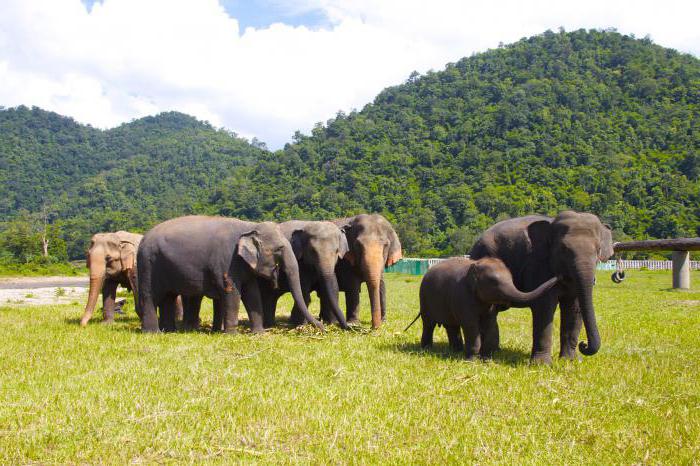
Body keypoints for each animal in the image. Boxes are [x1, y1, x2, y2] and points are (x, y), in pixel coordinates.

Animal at [137, 217, 326, 334]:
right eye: (279, 249)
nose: (323, 328)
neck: (249, 227)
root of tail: (143, 239)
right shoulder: (227, 260)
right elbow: (232, 292)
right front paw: (231, 334)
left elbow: (252, 293)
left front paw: (259, 333)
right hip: (148, 264)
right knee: (150, 296)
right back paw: (153, 333)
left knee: (168, 297)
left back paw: (169, 331)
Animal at [408, 256, 560, 358]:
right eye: (494, 282)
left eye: (511, 279)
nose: (559, 276)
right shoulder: (463, 295)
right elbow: (470, 324)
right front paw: (472, 360)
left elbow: (489, 322)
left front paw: (486, 359)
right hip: (424, 299)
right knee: (429, 324)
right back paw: (427, 349)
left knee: (451, 326)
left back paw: (456, 351)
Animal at [470, 211, 612, 364]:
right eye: (563, 249)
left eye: (598, 250)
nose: (583, 344)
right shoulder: (538, 263)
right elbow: (544, 307)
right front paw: (541, 364)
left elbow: (575, 308)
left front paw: (569, 361)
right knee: (491, 311)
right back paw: (489, 355)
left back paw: (496, 352)